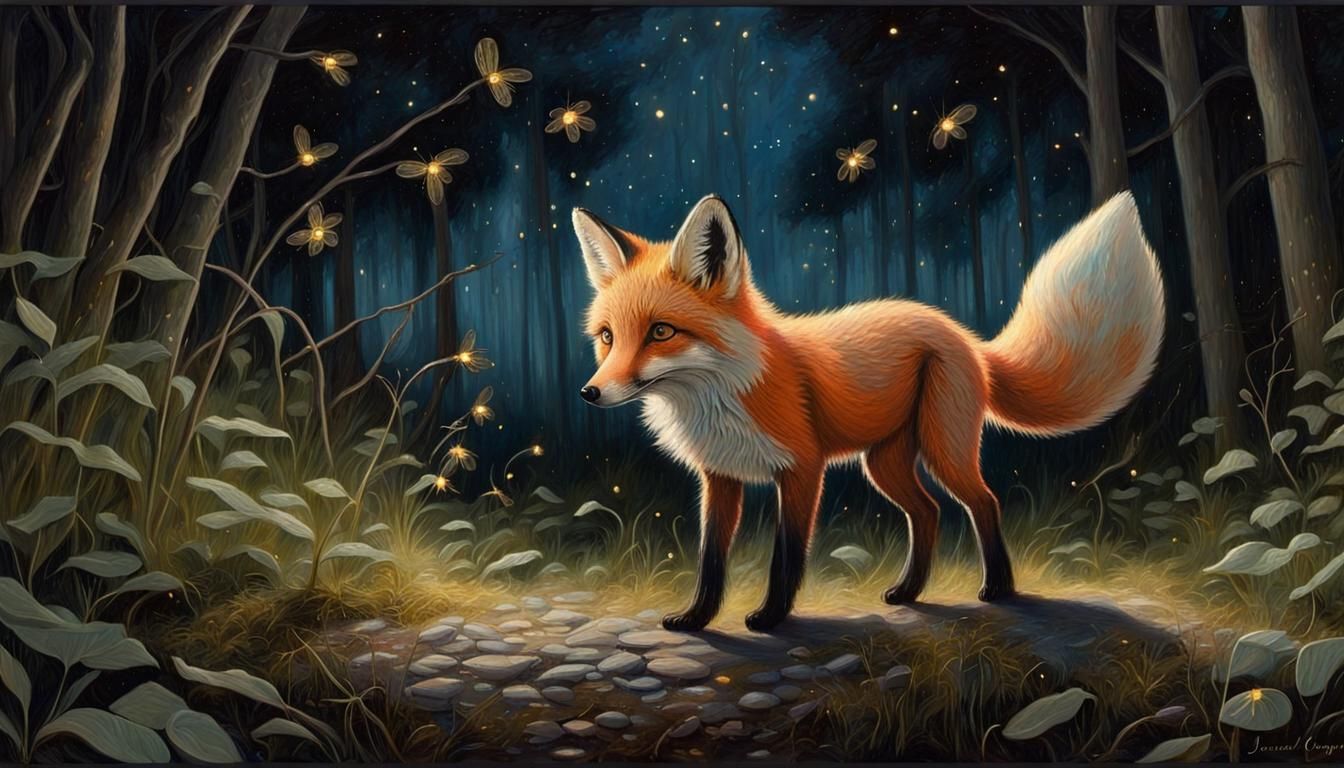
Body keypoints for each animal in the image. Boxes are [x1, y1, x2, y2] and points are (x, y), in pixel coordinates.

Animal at [573, 191, 1164, 632]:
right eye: (607, 337)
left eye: (661, 332)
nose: (590, 393)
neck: (720, 396)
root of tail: (964, 335)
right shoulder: (720, 478)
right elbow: (710, 559)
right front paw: (696, 618)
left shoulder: (802, 469)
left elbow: (787, 554)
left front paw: (770, 616)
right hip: (884, 464)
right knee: (928, 512)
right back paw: (909, 591)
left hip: (942, 450)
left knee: (983, 502)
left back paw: (998, 588)